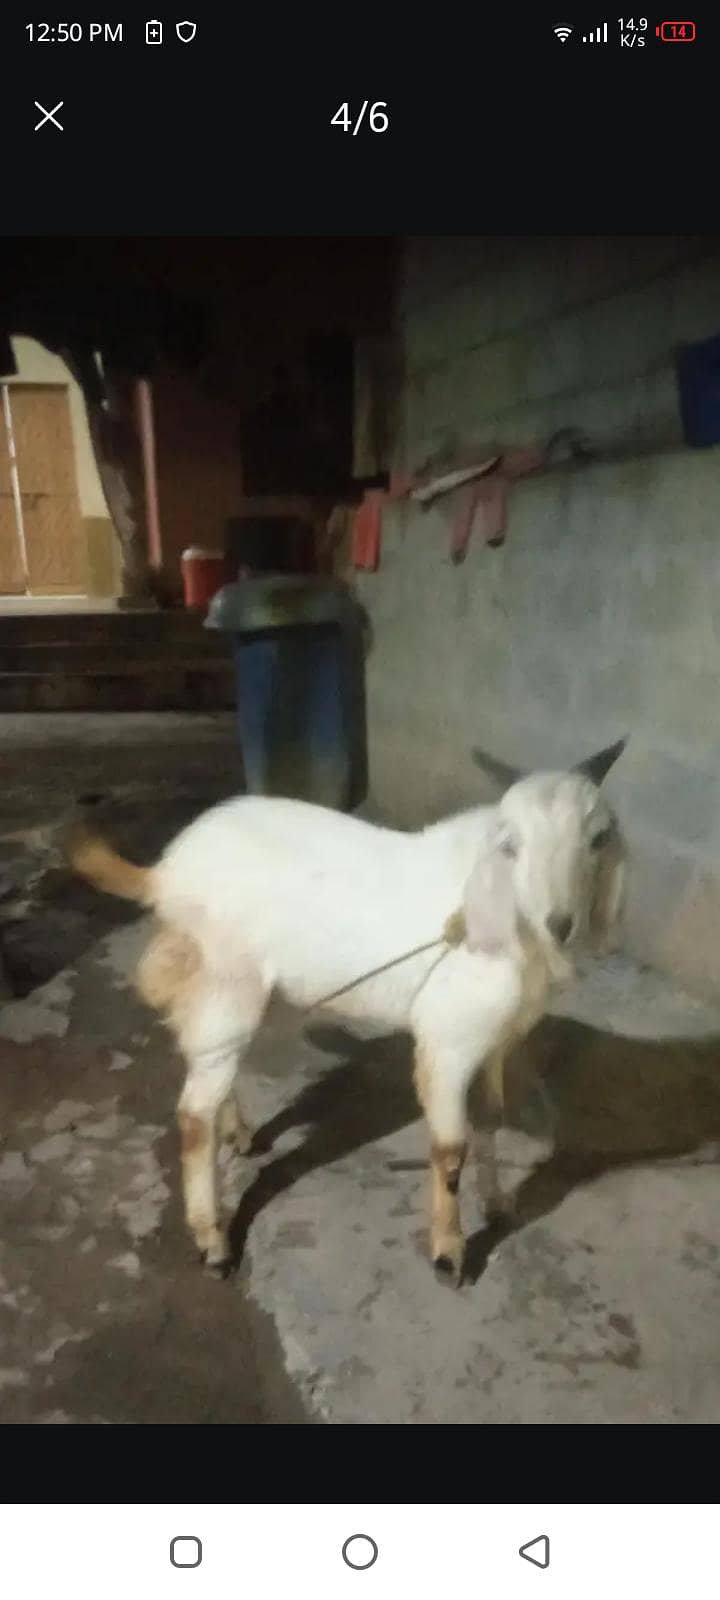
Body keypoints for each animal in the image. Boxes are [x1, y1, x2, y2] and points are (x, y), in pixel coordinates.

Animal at [68, 737, 627, 1285]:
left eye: (599, 839)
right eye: (511, 845)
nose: (560, 924)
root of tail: (164, 873)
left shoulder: (497, 1039)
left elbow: (490, 1118)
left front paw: (497, 1205)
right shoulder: (449, 1039)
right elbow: (450, 1149)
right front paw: (449, 1254)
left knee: (210, 1061)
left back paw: (238, 1134)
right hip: (226, 976)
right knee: (192, 1114)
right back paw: (214, 1242)